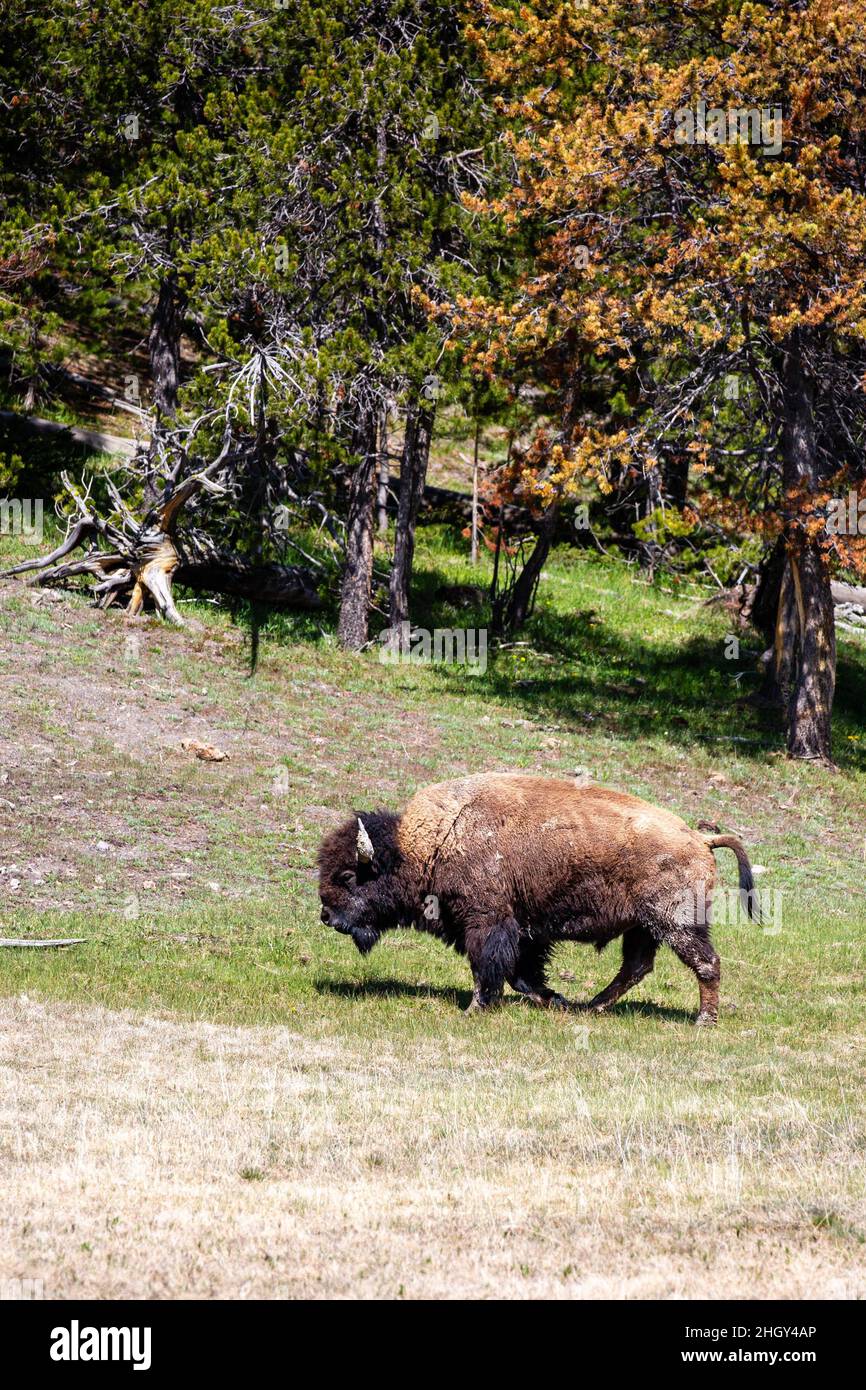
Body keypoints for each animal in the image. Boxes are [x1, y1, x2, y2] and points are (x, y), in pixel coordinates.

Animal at [317, 773, 758, 1025]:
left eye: (348, 875)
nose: (327, 916)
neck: (429, 843)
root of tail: (700, 838)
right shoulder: (524, 932)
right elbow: (520, 972)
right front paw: (553, 999)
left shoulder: (487, 920)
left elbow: (489, 966)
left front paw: (475, 1009)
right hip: (642, 927)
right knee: (636, 967)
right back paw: (592, 1007)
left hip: (676, 924)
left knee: (705, 963)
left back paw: (703, 1021)